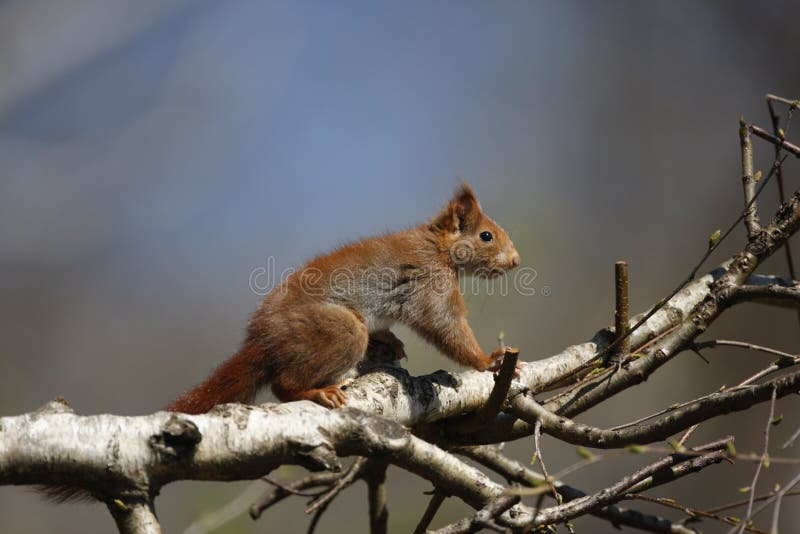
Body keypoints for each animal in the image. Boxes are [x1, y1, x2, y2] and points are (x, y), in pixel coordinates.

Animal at [166, 182, 520, 414]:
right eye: (486, 236)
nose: (516, 261)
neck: (437, 247)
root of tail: (261, 341)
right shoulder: (430, 282)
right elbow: (445, 325)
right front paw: (489, 360)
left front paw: (389, 338)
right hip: (339, 330)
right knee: (283, 385)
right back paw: (317, 392)